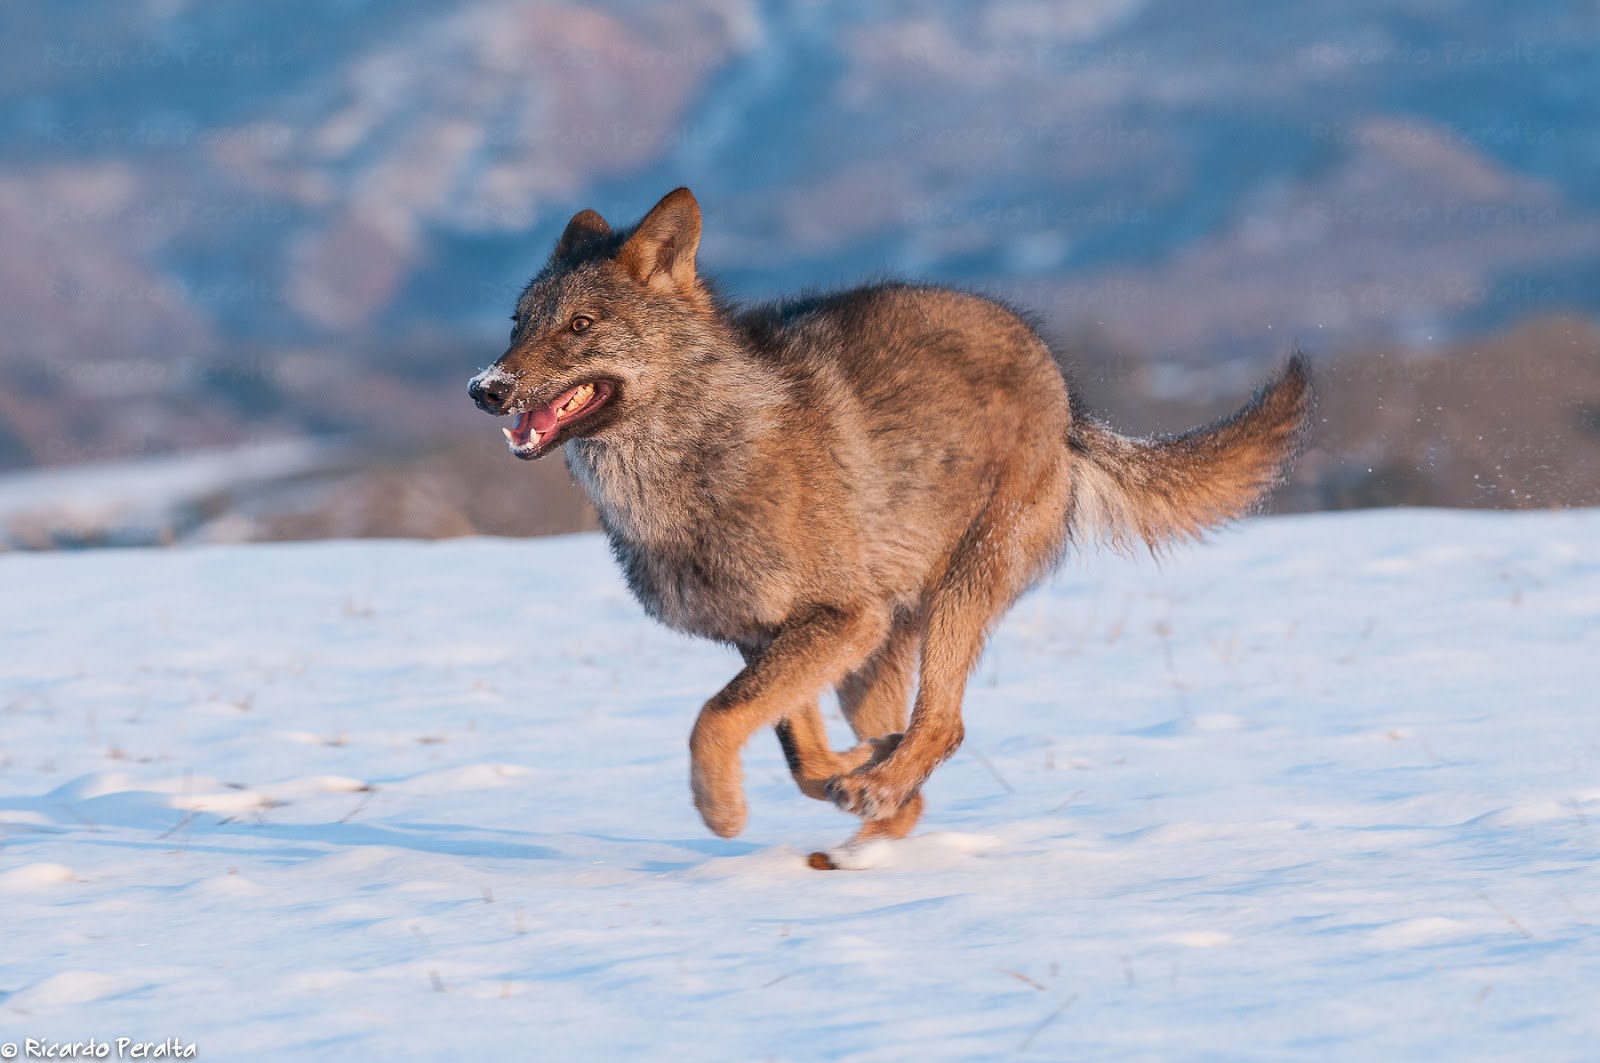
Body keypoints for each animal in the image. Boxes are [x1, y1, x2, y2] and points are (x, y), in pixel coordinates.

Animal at [468, 188, 1311, 866]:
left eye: (580, 324)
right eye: (516, 323)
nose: (485, 388)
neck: (697, 454)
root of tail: (1069, 399)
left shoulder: (840, 617)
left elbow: (715, 717)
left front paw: (722, 810)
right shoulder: (769, 637)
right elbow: (794, 750)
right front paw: (839, 773)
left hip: (952, 601)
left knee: (945, 724)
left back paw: (876, 792)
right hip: (873, 659)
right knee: (915, 756)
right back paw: (867, 809)